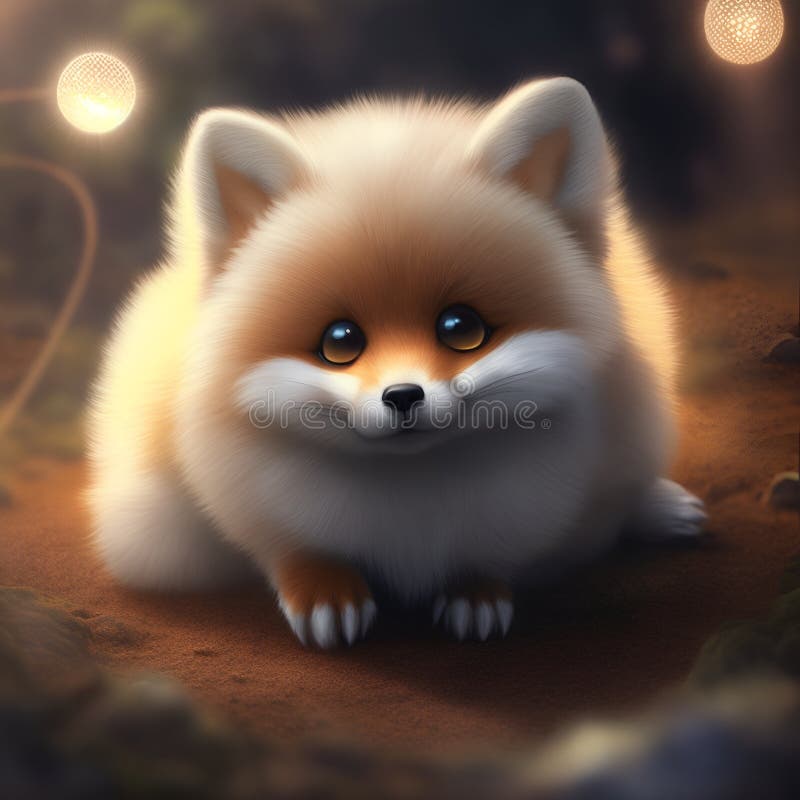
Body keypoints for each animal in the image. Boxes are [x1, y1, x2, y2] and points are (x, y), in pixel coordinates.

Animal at [88, 78, 706, 648]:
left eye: (461, 328)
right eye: (340, 341)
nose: (403, 395)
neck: (410, 490)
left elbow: (499, 552)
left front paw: (474, 591)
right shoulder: (241, 500)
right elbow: (290, 548)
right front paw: (325, 592)